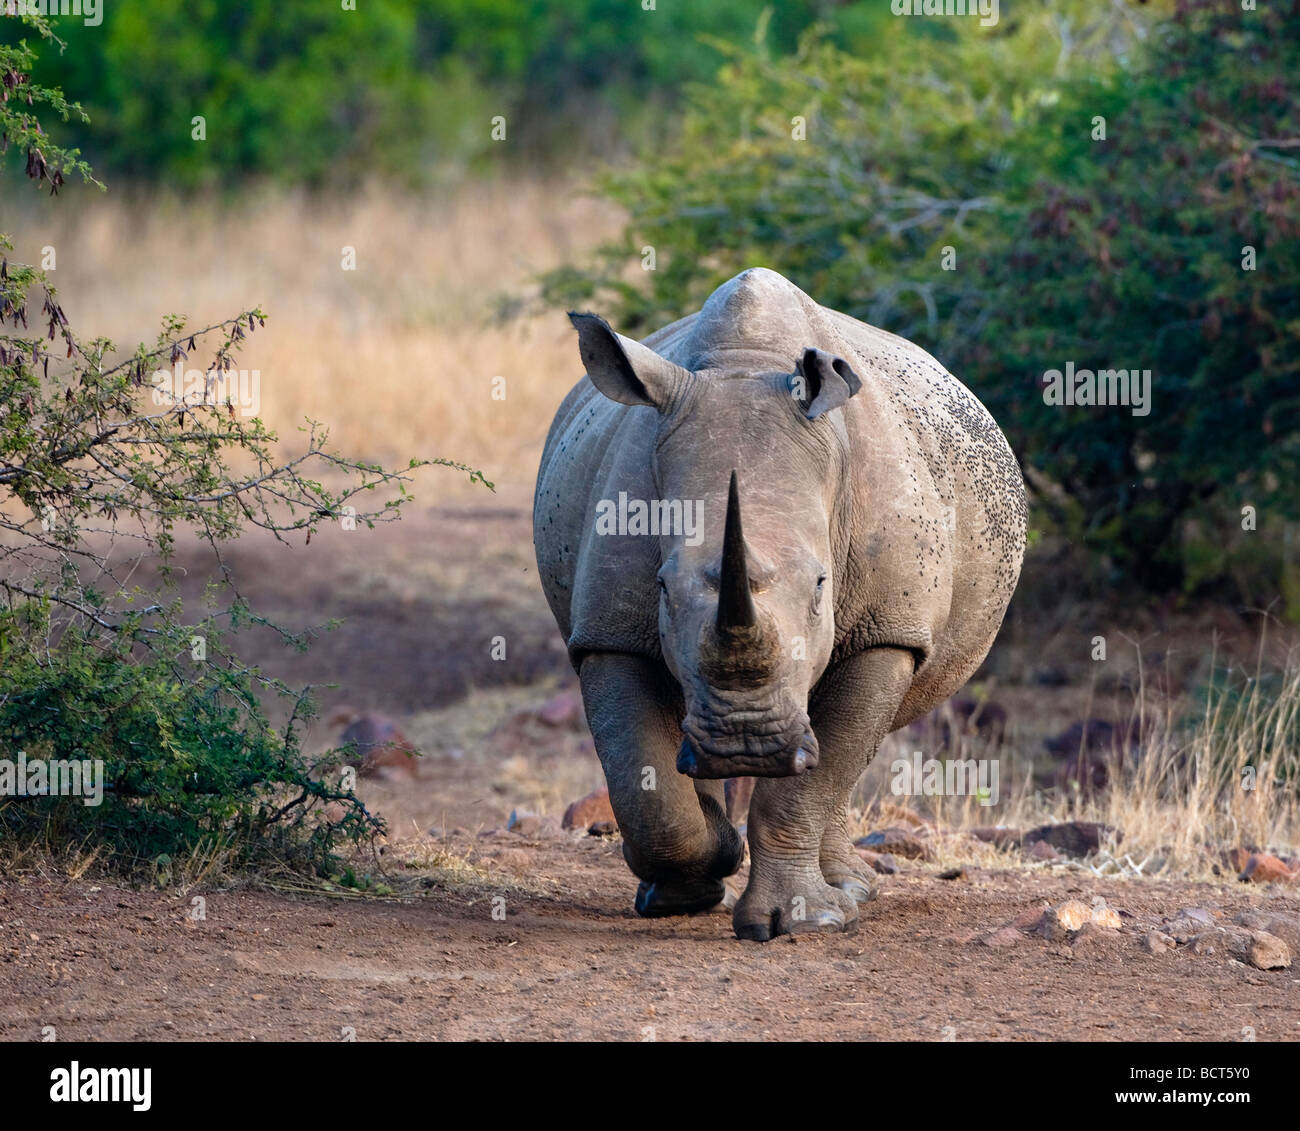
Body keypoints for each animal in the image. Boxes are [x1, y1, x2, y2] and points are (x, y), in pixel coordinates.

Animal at [533, 268, 1025, 941]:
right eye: (661, 587)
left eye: (821, 585)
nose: (744, 743)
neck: (747, 365)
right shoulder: (608, 630)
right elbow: (643, 779)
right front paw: (688, 884)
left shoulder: (889, 631)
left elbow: (817, 776)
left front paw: (802, 921)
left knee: (853, 747)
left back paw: (849, 893)